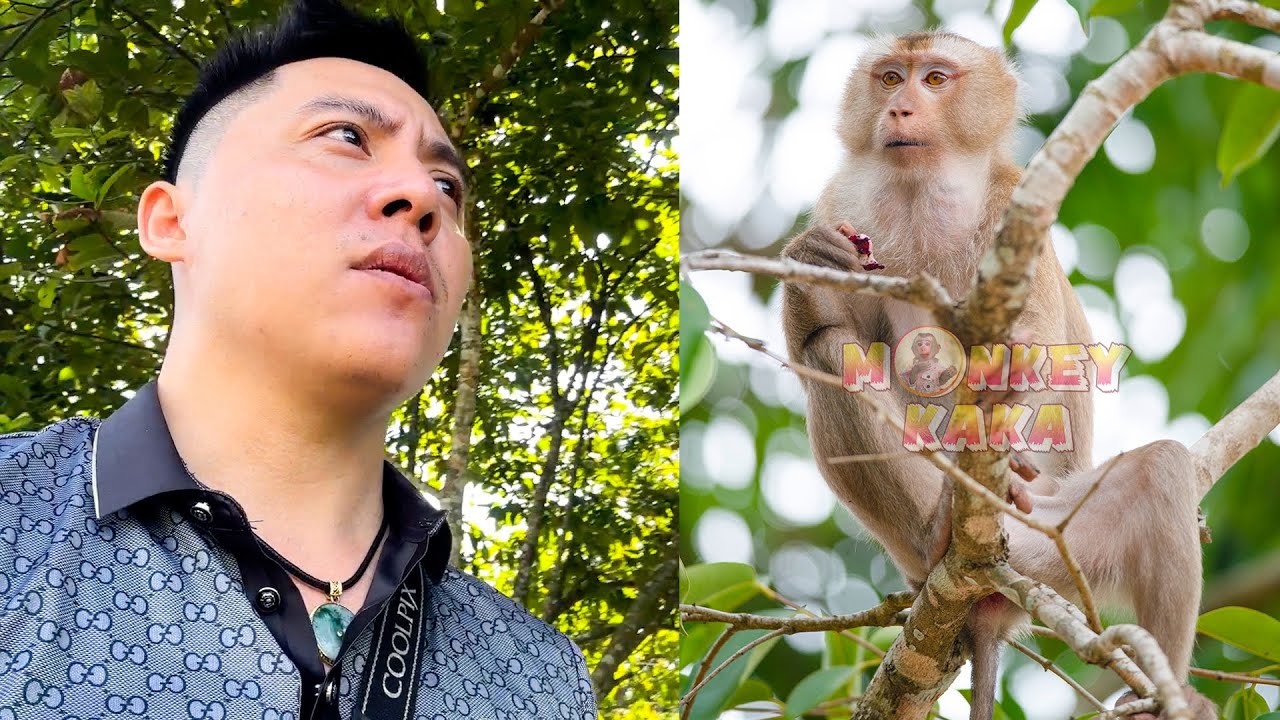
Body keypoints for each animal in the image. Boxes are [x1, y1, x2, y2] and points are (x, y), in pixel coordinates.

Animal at [778, 32, 1215, 720]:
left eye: (934, 79)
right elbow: (817, 345)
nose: (899, 108)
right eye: (890, 78)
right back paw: (931, 538)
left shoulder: (1015, 204)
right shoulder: (843, 202)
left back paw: (1169, 695)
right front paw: (806, 261)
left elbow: (1030, 354)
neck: (922, 189)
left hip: (1050, 541)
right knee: (828, 354)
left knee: (1159, 471)